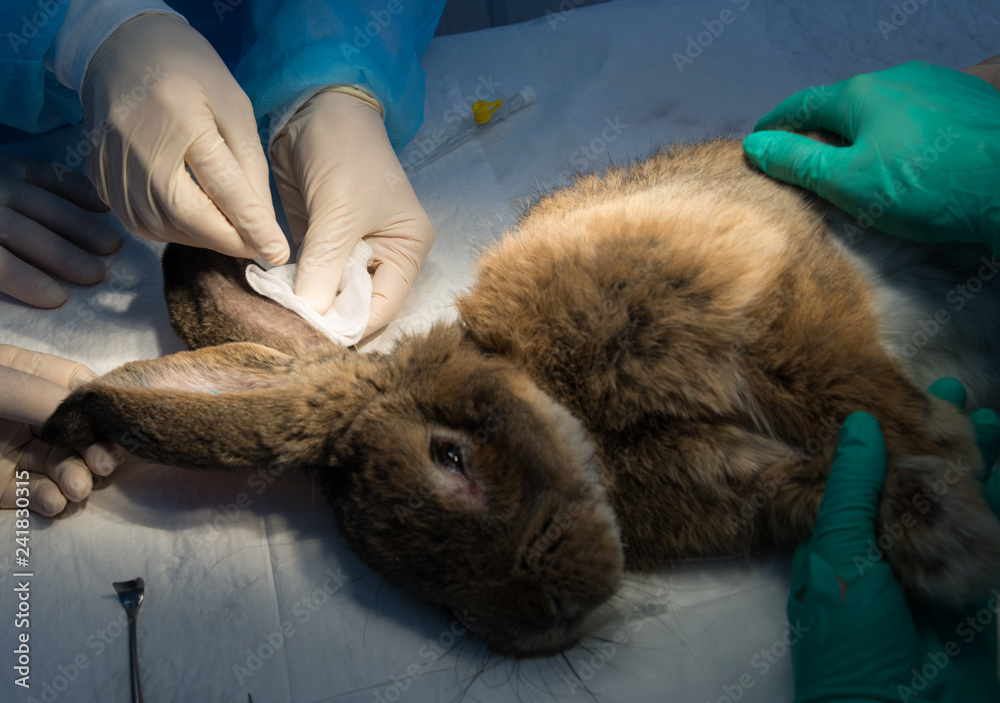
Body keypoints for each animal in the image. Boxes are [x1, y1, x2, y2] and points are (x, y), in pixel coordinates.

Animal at [42, 137, 1000, 658]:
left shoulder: (765, 299)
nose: (548, 617)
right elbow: (843, 483)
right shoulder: (758, 477)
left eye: (452, 455)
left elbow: (857, 398)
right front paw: (947, 541)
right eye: (430, 593)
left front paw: (960, 496)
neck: (581, 416)